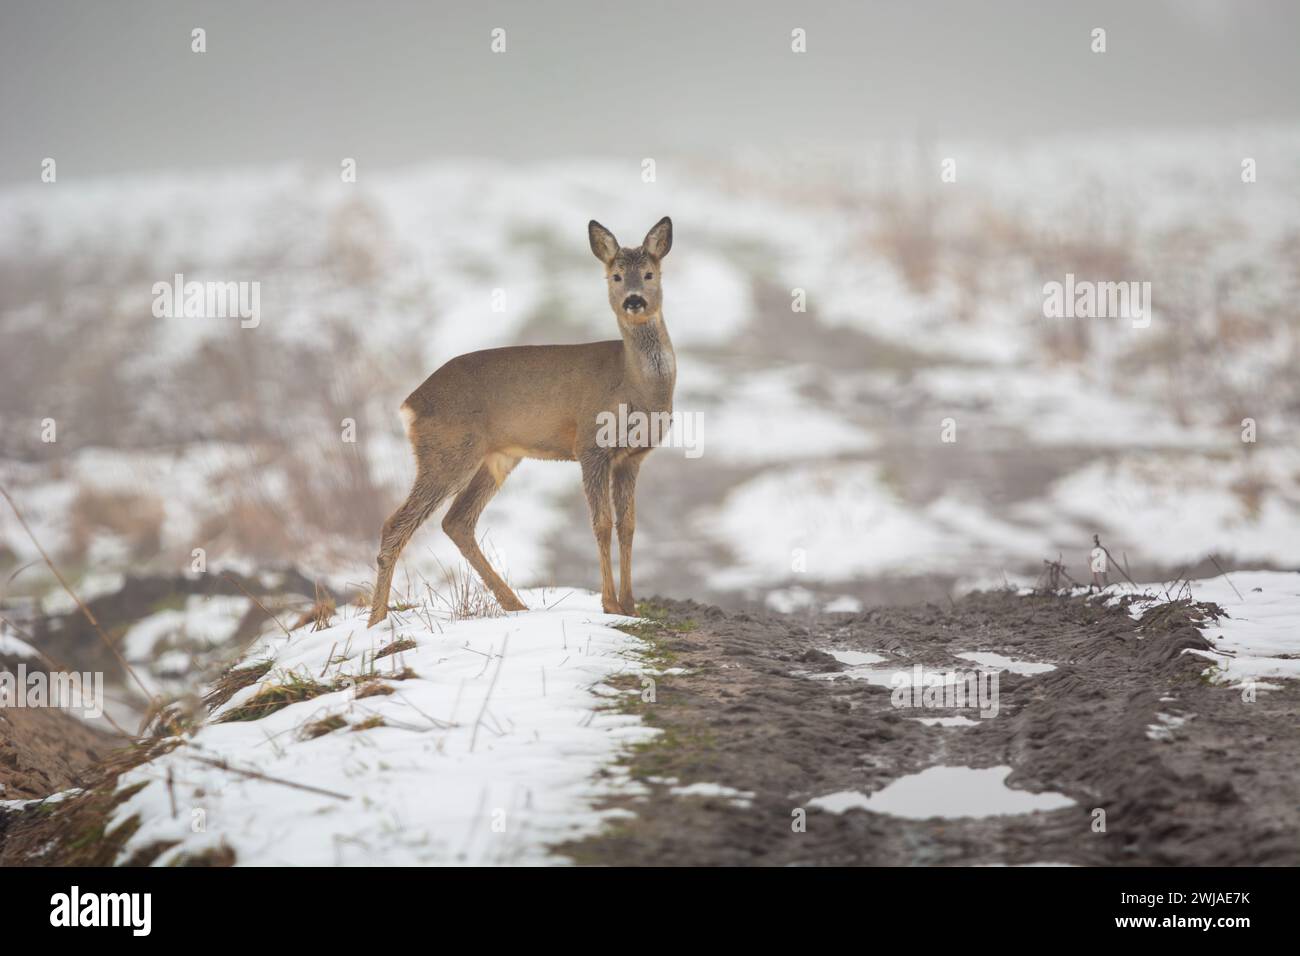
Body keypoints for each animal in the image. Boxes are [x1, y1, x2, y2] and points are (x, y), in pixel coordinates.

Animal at [367, 217, 675, 626]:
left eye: (650, 273)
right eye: (616, 276)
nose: (634, 300)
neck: (635, 386)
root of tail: (410, 403)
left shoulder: (632, 457)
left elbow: (628, 526)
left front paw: (630, 606)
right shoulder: (590, 445)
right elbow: (601, 523)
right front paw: (610, 605)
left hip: (497, 457)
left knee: (457, 521)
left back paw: (514, 604)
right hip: (448, 451)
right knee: (396, 523)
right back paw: (375, 620)